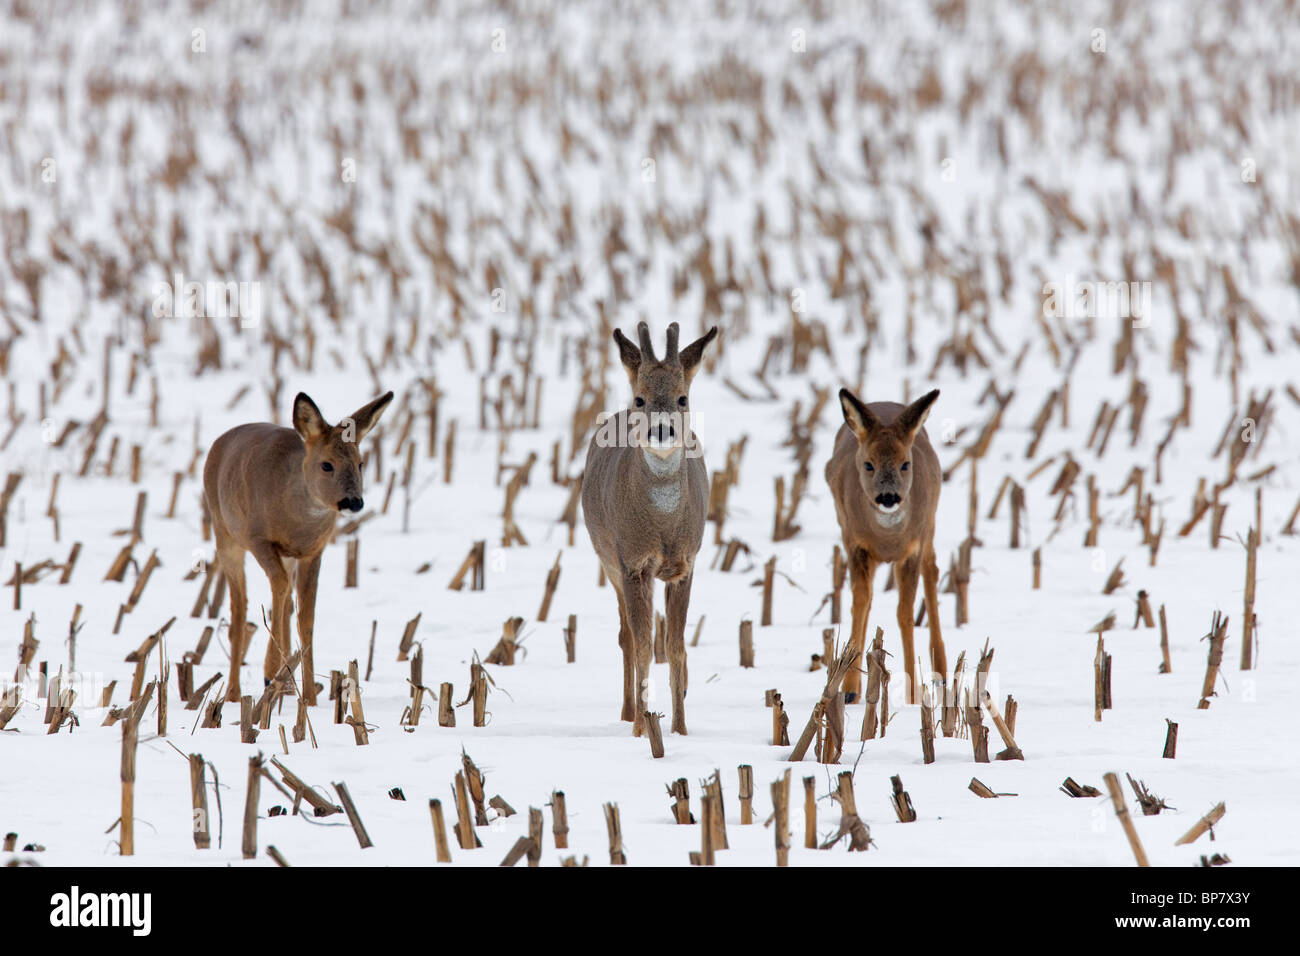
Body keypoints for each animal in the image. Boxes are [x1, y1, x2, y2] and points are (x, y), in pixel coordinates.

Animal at [202, 390, 393, 705]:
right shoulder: (258, 539)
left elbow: (306, 614)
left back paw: (287, 687)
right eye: (326, 464)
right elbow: (278, 589)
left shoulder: (314, 550)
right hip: (224, 532)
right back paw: (234, 693)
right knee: (240, 608)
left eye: (361, 463)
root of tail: (221, 441)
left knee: (287, 602)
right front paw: (270, 670)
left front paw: (310, 697)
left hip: (283, 554)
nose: (353, 502)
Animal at [582, 321, 718, 737]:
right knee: (626, 637)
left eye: (682, 398)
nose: (661, 430)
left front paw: (680, 728)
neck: (662, 527)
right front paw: (643, 729)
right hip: (607, 559)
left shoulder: (685, 565)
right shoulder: (632, 563)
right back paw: (629, 712)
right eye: (641, 399)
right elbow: (642, 644)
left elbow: (675, 645)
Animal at [825, 386, 947, 705]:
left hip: (930, 523)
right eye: (869, 464)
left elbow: (905, 613)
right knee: (866, 600)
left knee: (932, 571)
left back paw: (942, 672)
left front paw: (914, 693)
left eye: (905, 464)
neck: (887, 538)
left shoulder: (913, 548)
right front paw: (849, 688)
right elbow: (859, 603)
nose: (889, 497)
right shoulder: (854, 543)